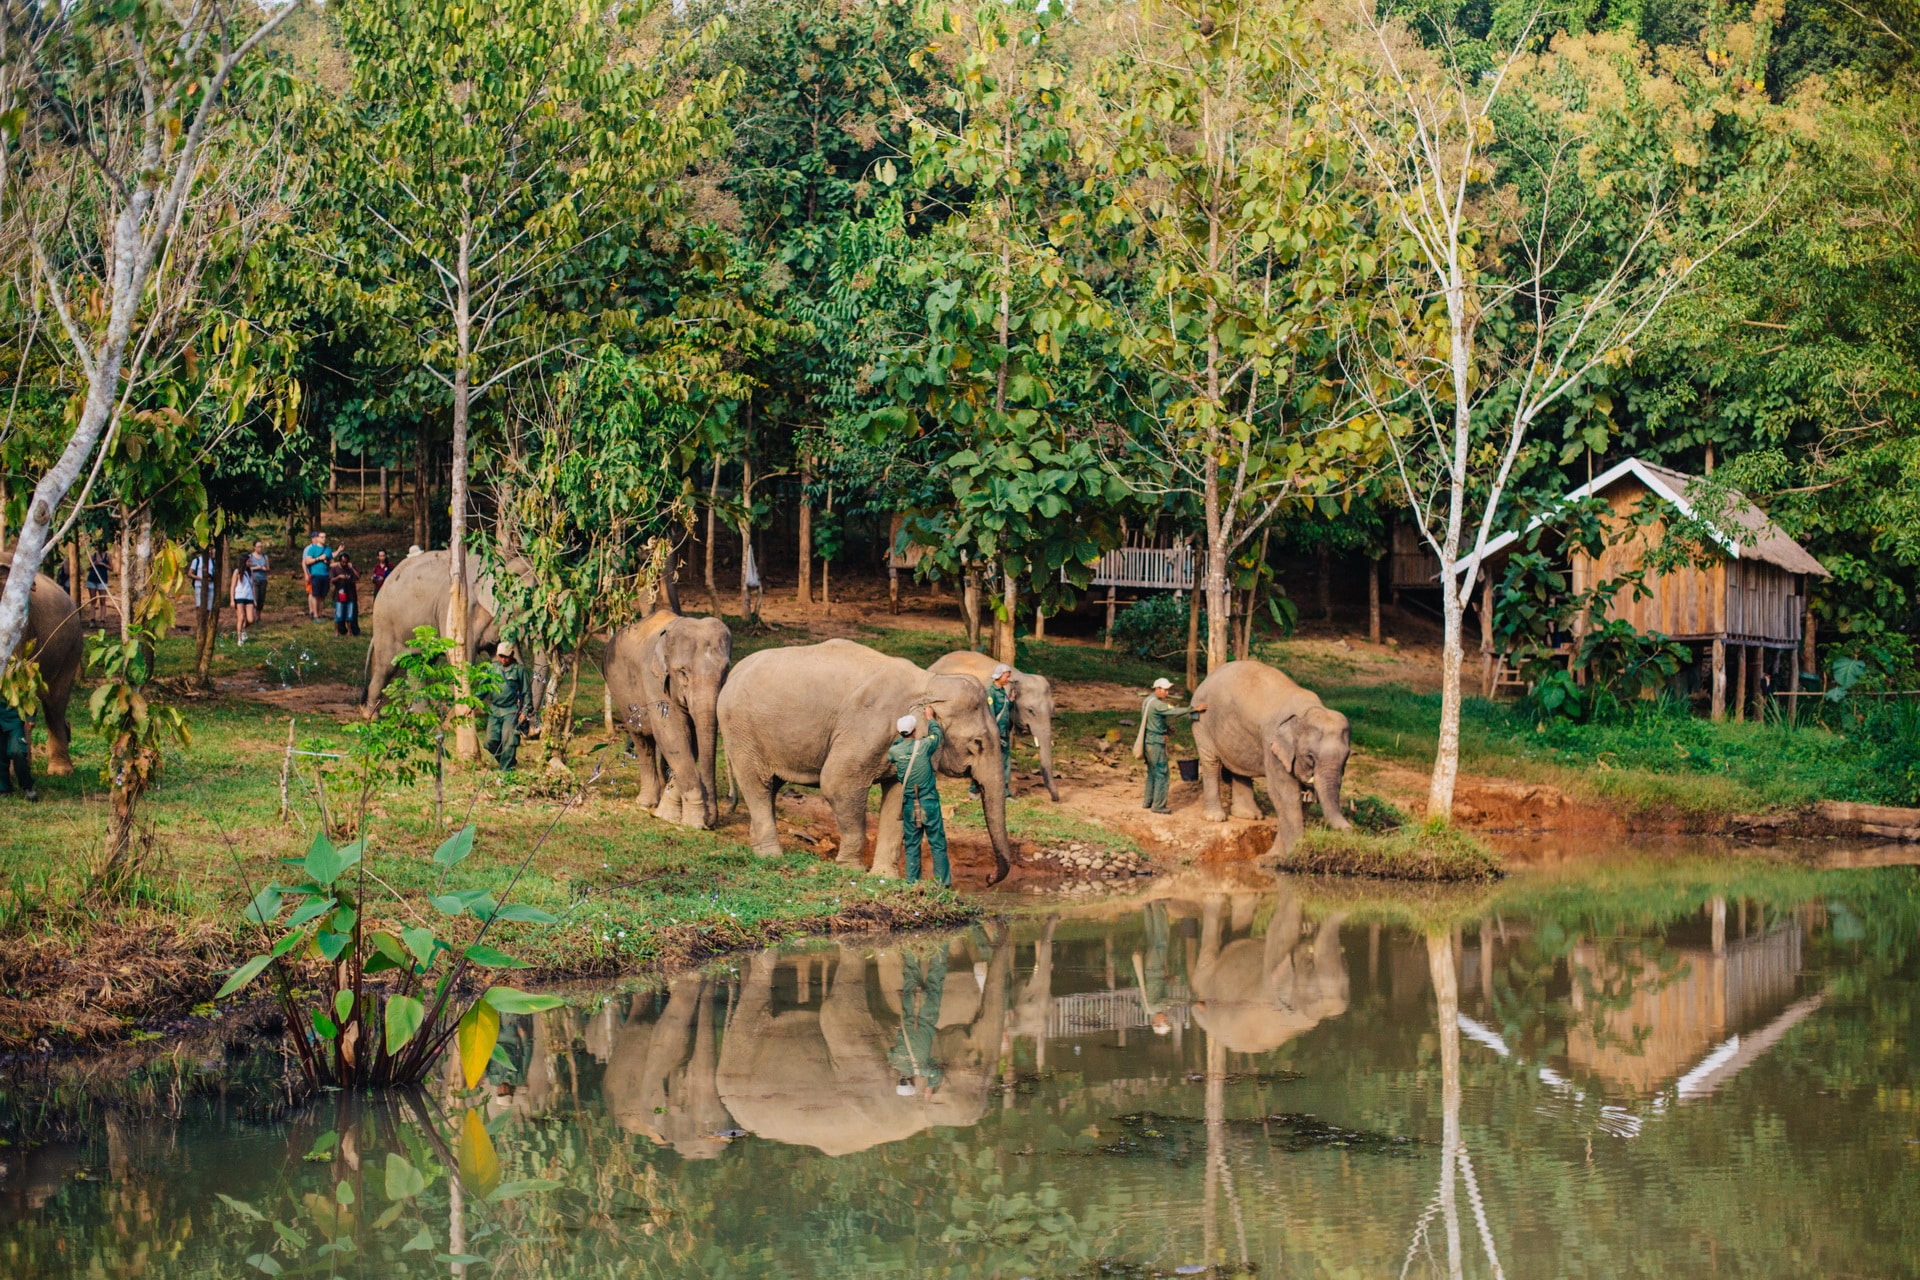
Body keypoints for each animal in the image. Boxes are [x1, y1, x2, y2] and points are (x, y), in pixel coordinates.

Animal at [602, 609, 731, 828]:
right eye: (683, 673)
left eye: (725, 671)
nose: (710, 821)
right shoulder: (654, 680)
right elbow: (673, 735)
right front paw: (693, 820)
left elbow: (688, 742)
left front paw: (670, 813)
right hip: (619, 689)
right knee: (642, 740)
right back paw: (646, 802)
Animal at [716, 639, 1014, 884]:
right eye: (977, 743)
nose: (988, 878)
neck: (927, 682)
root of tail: (735, 671)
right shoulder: (865, 729)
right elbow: (836, 783)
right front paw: (851, 870)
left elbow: (899, 796)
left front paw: (885, 877)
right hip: (741, 731)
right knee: (757, 784)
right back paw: (771, 856)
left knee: (771, 787)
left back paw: (757, 847)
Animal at [928, 650, 1061, 801]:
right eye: (1030, 711)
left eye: (1053, 709)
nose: (1055, 799)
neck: (1018, 675)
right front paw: (975, 794)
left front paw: (1008, 797)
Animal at [1191, 658, 1353, 857]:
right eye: (1310, 756)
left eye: (1346, 757)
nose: (1350, 830)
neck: (1307, 710)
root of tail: (1208, 677)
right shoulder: (1272, 744)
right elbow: (1284, 794)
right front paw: (1285, 855)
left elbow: (1302, 800)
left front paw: (1282, 853)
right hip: (1201, 722)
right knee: (1211, 762)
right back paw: (1216, 818)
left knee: (1240, 768)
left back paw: (1250, 816)